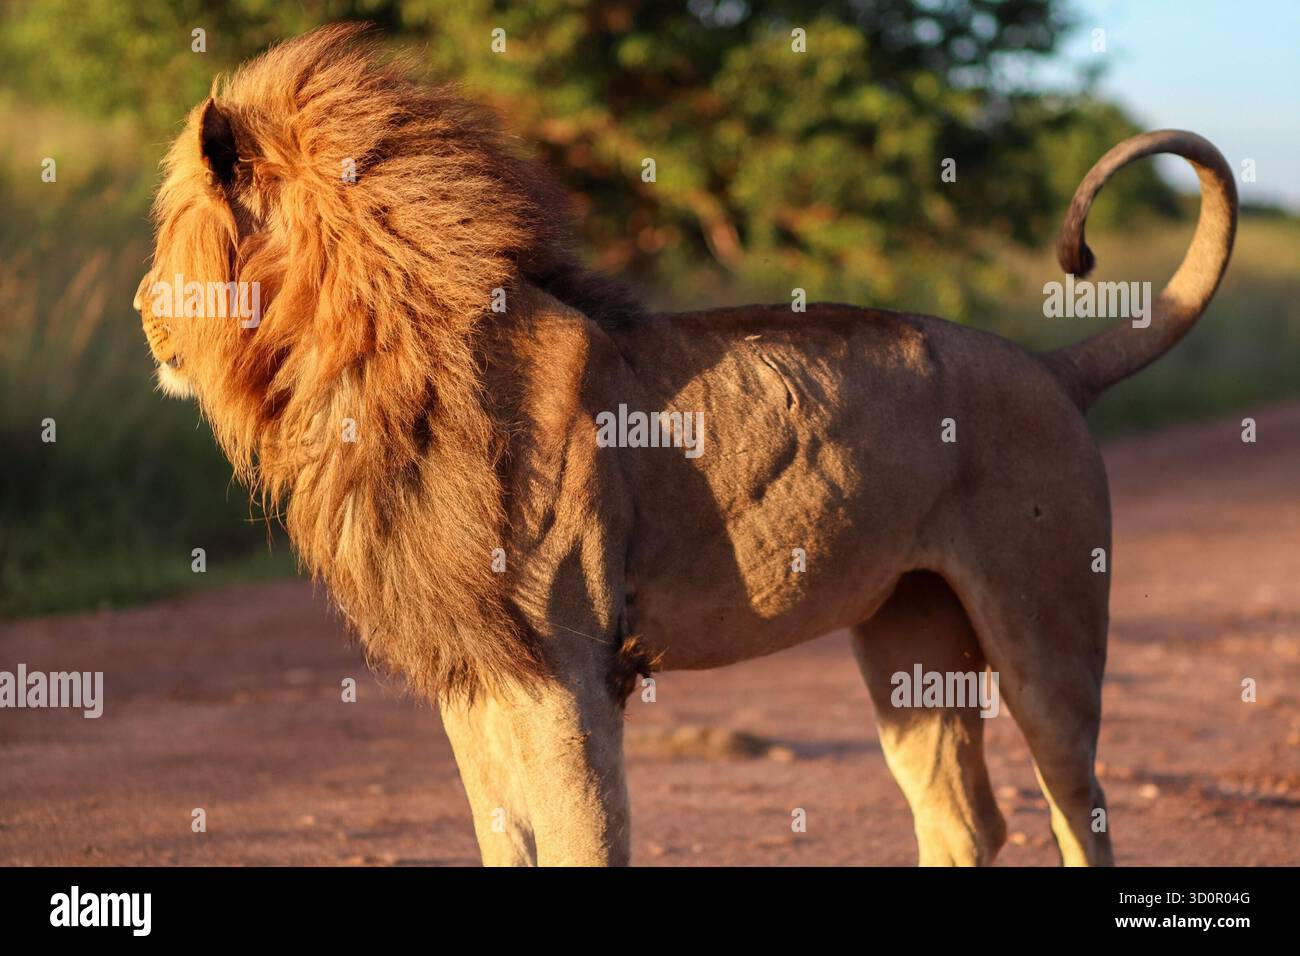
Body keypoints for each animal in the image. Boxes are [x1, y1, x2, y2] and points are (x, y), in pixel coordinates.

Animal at [135, 24, 1236, 866]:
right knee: (964, 817)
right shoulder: (476, 665)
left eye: (167, 234)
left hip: (1045, 627)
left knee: (1077, 808)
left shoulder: (572, 666)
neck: (360, 362)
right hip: (907, 634)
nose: (143, 308)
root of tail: (1053, 365)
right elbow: (505, 839)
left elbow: (581, 842)